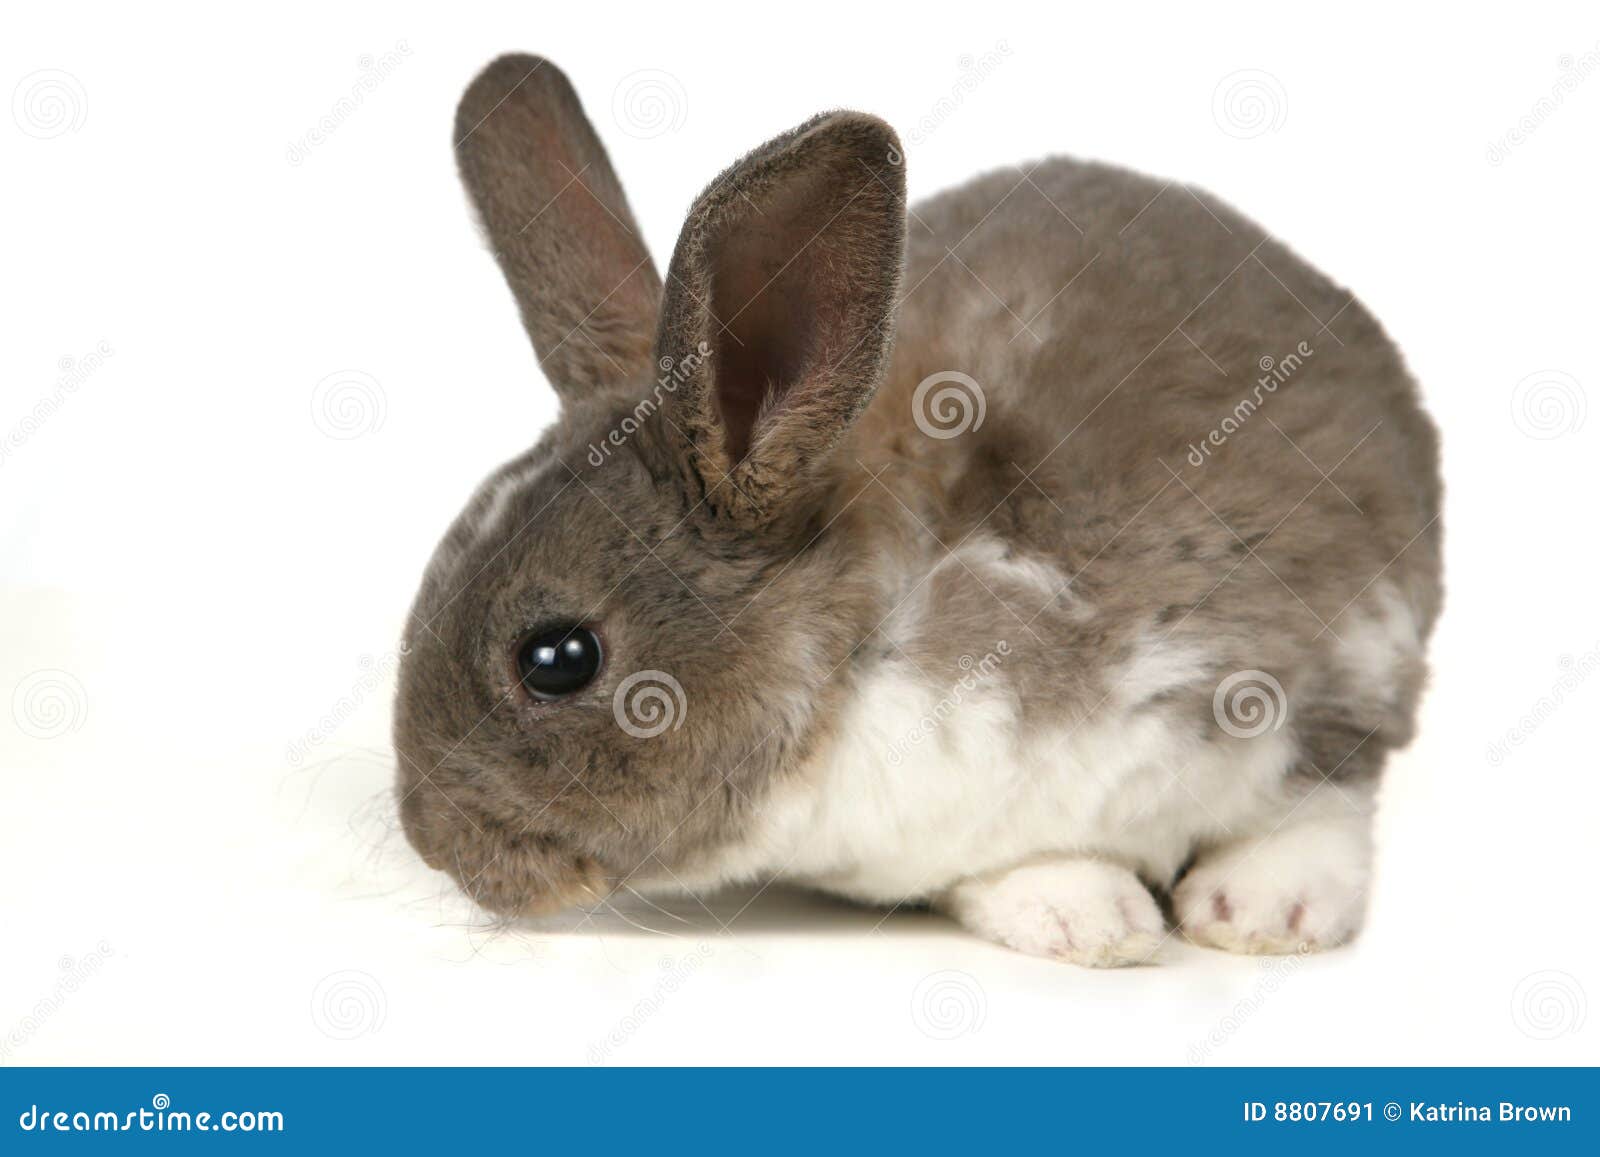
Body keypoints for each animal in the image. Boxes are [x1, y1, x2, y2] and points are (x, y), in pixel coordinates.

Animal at [393, 53, 1442, 966]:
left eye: (558, 658)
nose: (431, 838)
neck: (864, 658)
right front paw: (1088, 915)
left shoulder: (1285, 669)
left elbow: (1321, 792)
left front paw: (1245, 912)